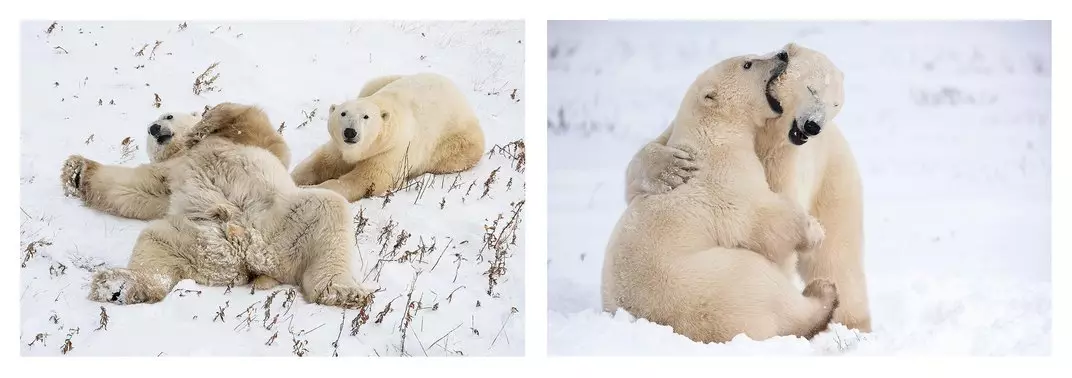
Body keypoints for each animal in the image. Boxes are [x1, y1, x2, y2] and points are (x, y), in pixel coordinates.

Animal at [60, 104, 291, 219]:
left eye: (168, 116)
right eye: (148, 131)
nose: (154, 128)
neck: (181, 151)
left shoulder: (248, 141)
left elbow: (249, 119)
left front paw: (199, 127)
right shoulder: (168, 176)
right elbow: (130, 188)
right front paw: (75, 173)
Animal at [289, 71, 482, 200]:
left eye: (366, 116)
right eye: (343, 113)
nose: (350, 132)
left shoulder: (392, 151)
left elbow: (365, 180)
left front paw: (307, 190)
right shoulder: (339, 147)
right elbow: (320, 162)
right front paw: (293, 179)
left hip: (458, 140)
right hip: (384, 80)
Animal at [604, 44, 844, 342]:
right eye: (747, 64)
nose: (782, 55)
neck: (711, 137)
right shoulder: (726, 178)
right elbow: (762, 217)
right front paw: (815, 231)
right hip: (729, 281)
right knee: (774, 294)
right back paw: (823, 292)